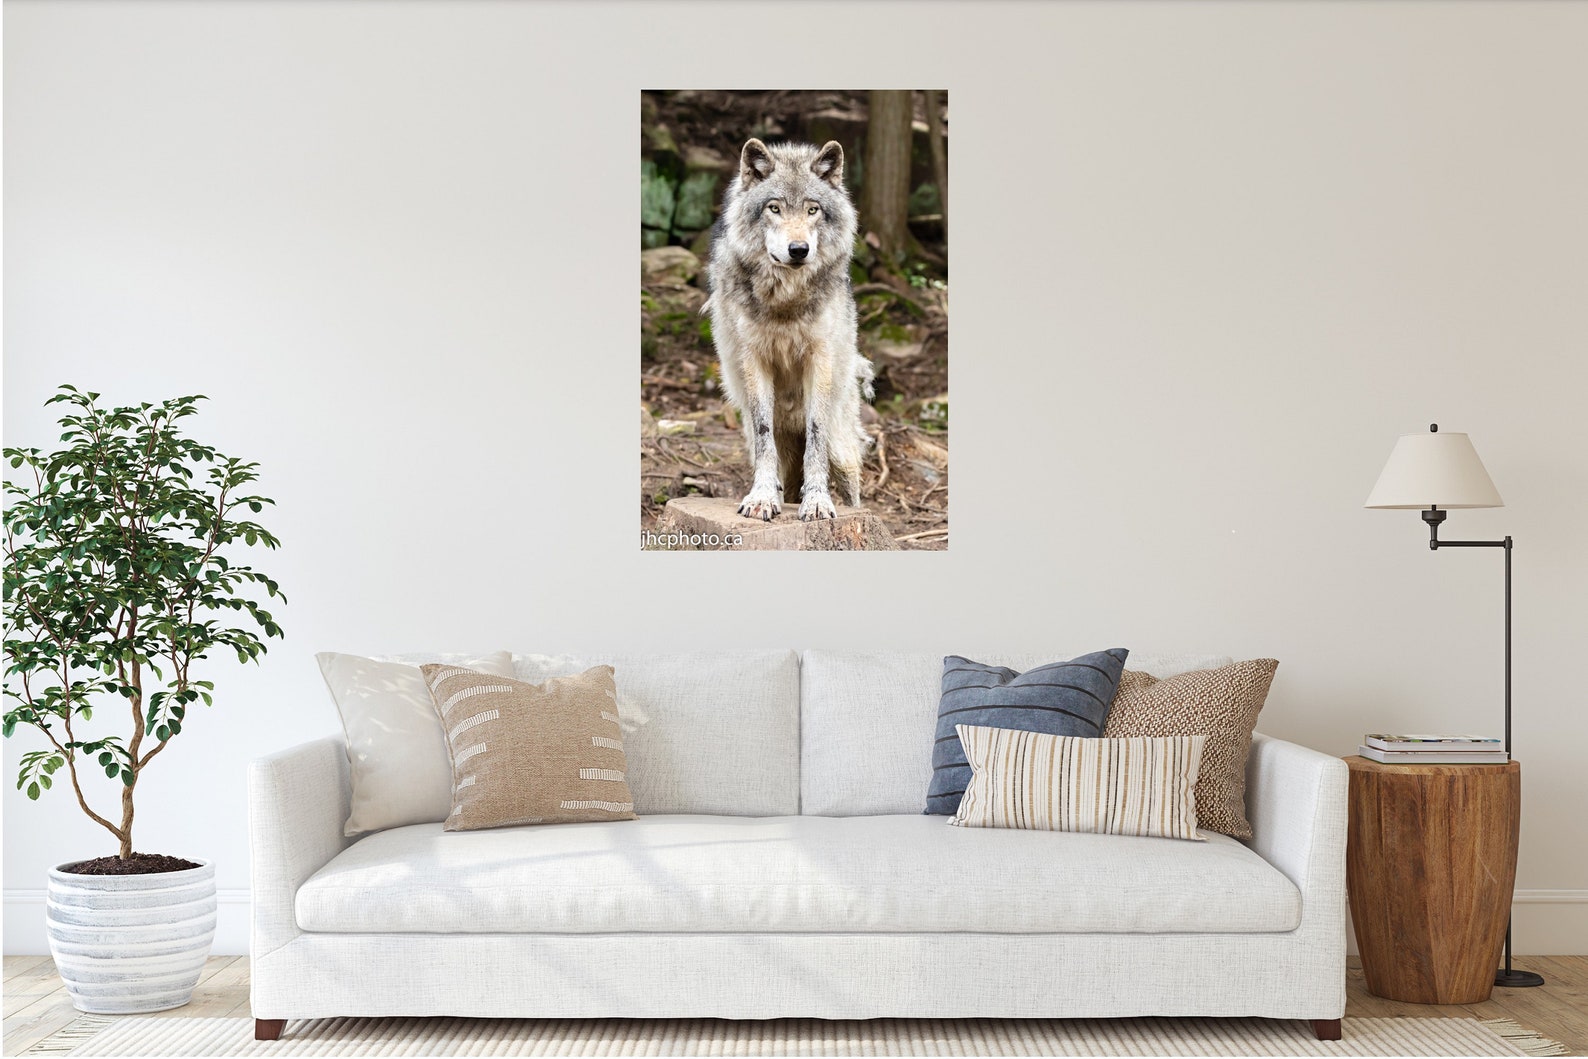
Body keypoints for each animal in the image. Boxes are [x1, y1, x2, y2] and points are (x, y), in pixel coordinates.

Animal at [704, 137, 875, 521]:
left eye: (812, 210)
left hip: (842, 448)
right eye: (774, 208)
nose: (798, 250)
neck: (785, 299)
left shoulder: (819, 360)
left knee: (852, 487)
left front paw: (817, 502)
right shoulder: (754, 361)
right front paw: (762, 498)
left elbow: (816, 436)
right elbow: (764, 435)